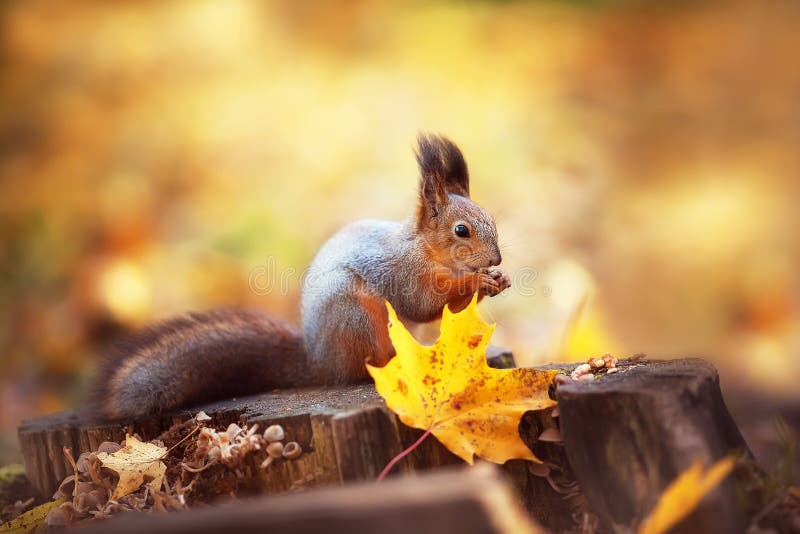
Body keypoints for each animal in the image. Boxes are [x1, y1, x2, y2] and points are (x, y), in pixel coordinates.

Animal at [92, 134, 511, 420]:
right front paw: (478, 282)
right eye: (461, 231)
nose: (496, 257)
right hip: (354, 315)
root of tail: (318, 360)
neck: (426, 249)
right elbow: (423, 303)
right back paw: (398, 364)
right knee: (365, 366)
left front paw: (497, 279)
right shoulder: (400, 271)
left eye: (491, 219)